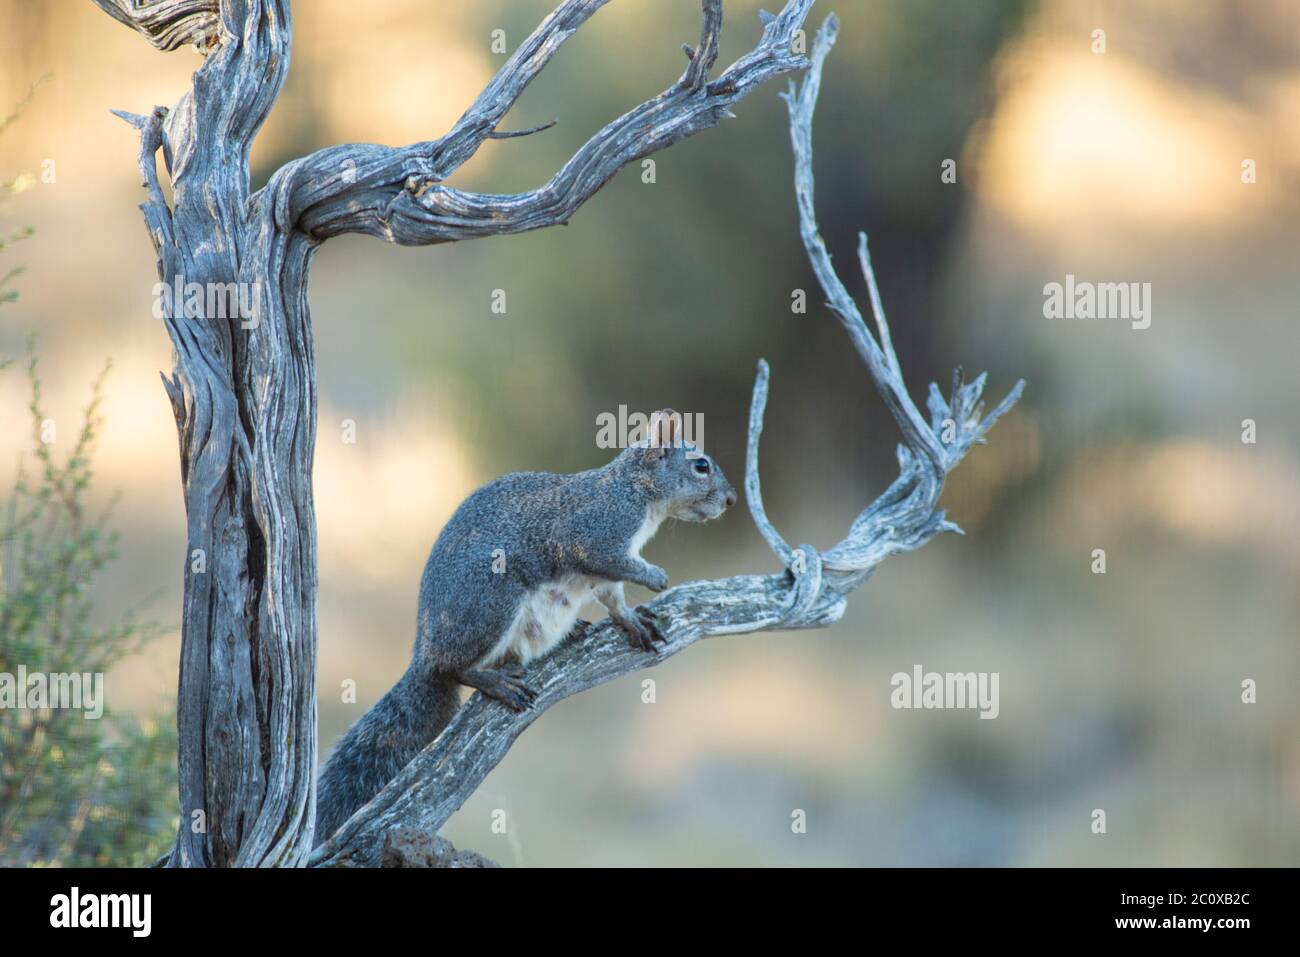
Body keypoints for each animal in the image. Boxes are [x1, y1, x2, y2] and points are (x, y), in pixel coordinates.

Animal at [314, 409, 736, 846]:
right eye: (701, 466)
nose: (731, 500)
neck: (636, 492)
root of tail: (426, 650)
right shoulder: (595, 535)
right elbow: (612, 562)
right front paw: (654, 576)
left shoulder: (604, 573)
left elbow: (613, 597)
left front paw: (632, 620)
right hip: (491, 600)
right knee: (458, 668)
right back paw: (495, 681)